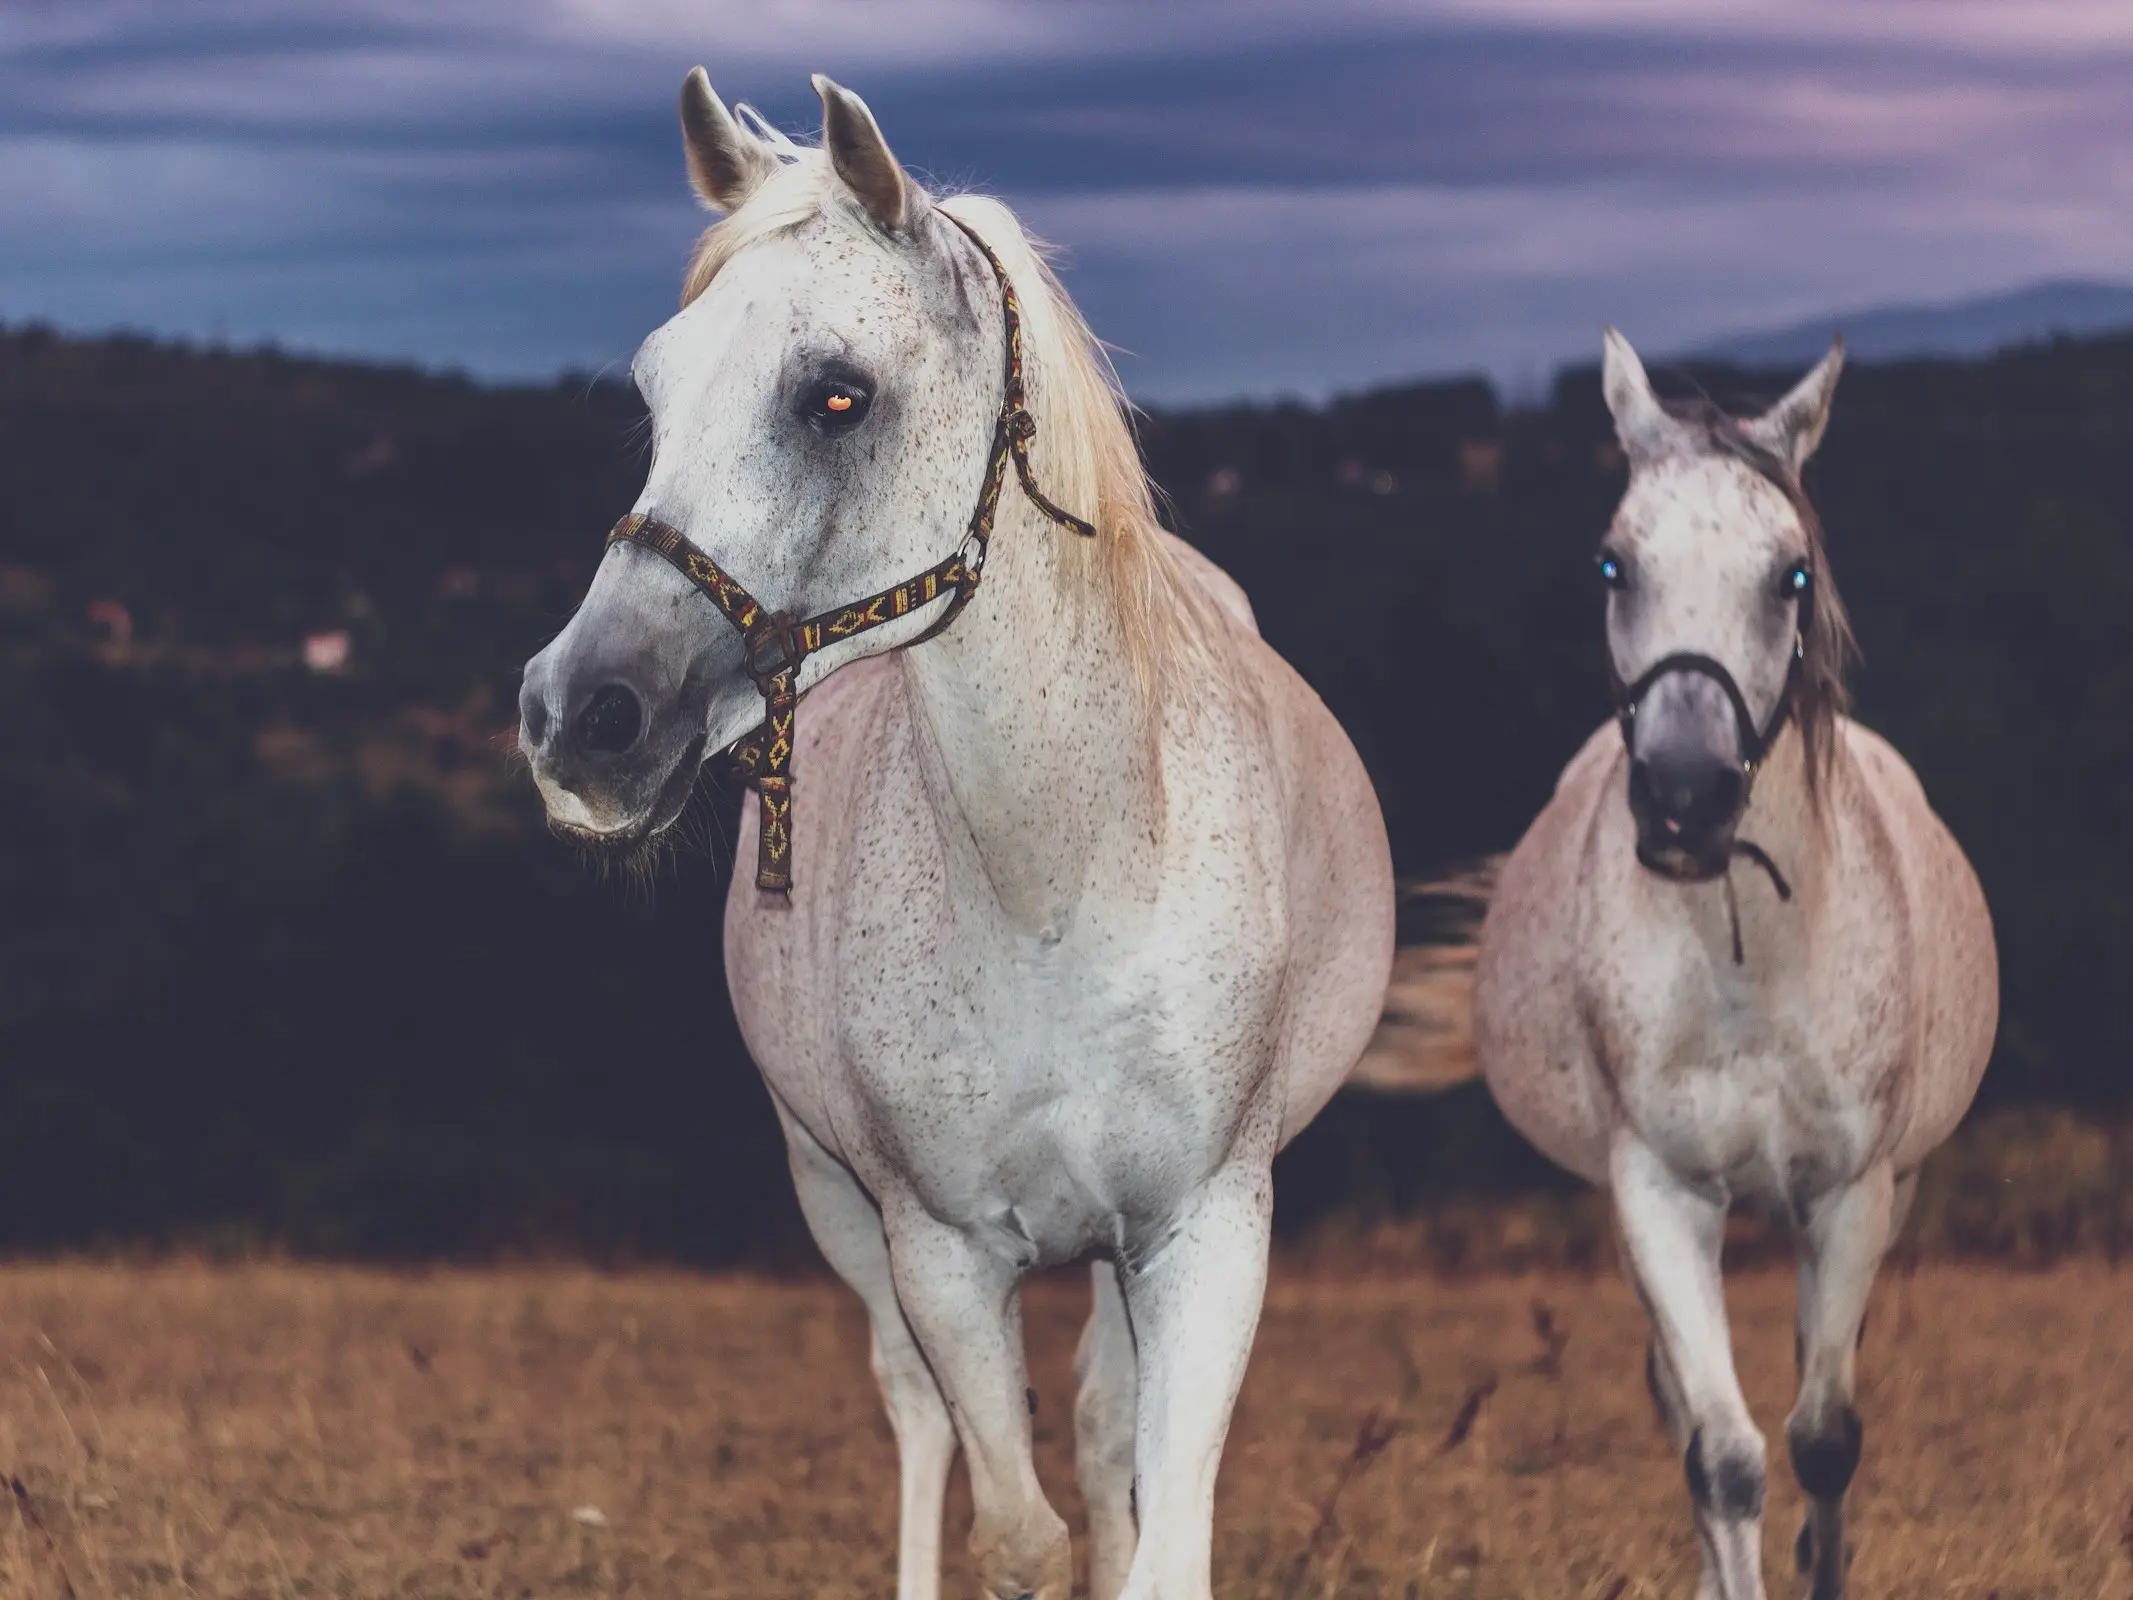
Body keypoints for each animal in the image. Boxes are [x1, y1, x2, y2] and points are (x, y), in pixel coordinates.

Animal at [517, 71, 1394, 1600]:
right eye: (653, 388)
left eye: (836, 395)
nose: (581, 717)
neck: (1064, 881)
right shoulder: (938, 1254)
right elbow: (1014, 1532)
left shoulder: (1206, 1236)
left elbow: (1156, 1529)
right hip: (841, 1210)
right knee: (920, 1426)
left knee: (1098, 1429)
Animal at [1472, 331, 1997, 1600]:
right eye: (1614, 565)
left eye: (1790, 574)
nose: (1684, 795)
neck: (1747, 960)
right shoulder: (1658, 1194)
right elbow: (1723, 1455)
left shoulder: (1853, 1194)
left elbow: (1826, 1439)